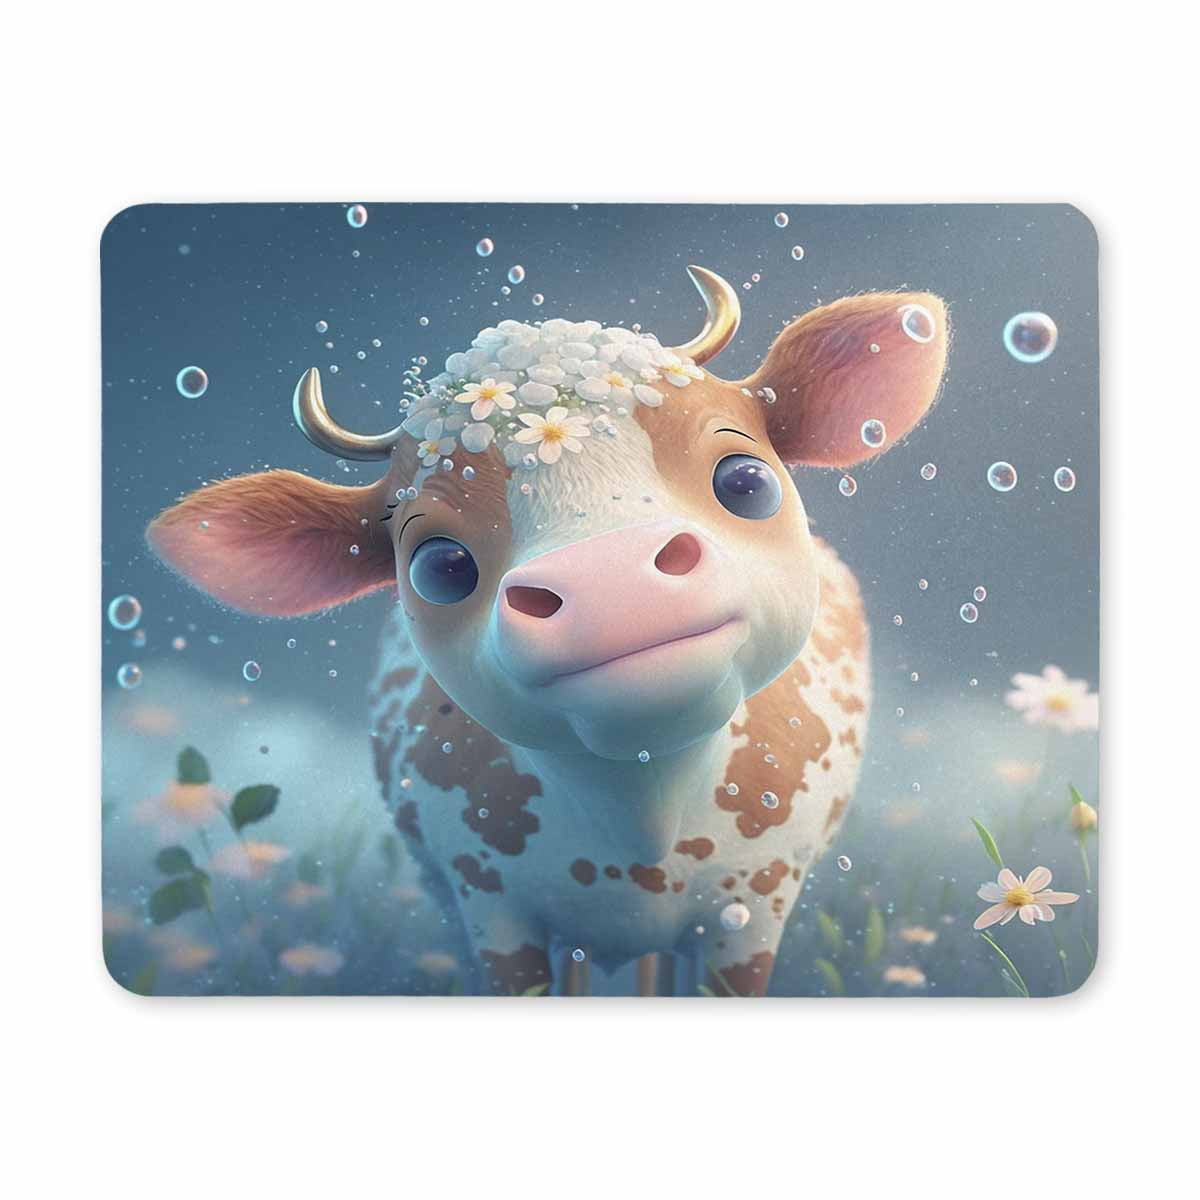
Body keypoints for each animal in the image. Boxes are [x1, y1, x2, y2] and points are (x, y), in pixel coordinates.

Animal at [147, 267, 948, 996]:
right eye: (440, 566)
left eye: (746, 483)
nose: (610, 580)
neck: (642, 816)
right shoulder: (492, 910)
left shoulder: (755, 906)